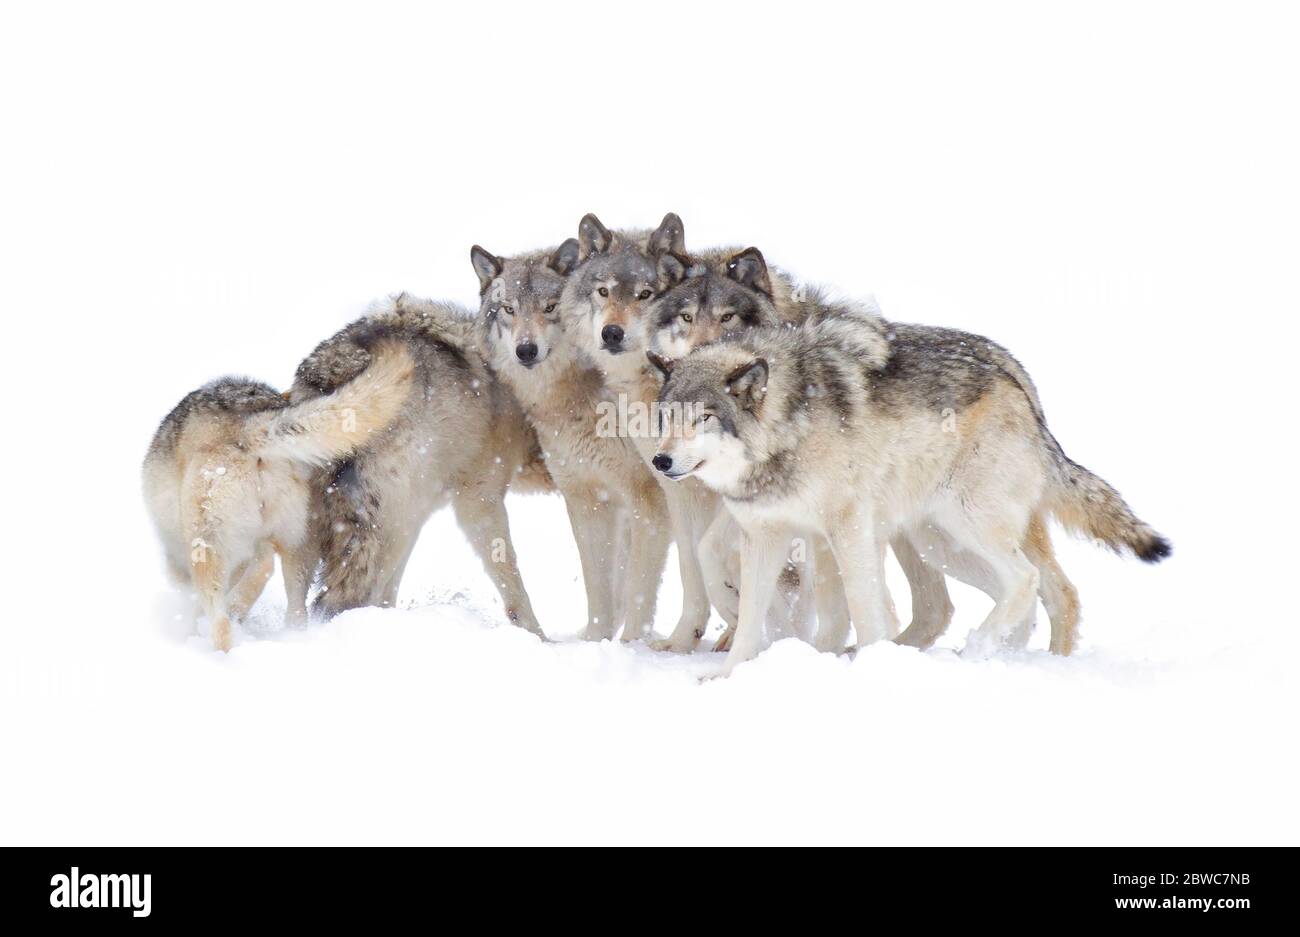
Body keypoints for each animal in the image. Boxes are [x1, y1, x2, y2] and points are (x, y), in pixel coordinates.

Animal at [143, 344, 415, 651]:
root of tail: (251, 425)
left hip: (209, 544)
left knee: (226, 608)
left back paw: (222, 642)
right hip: (297, 541)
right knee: (291, 601)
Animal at [292, 294, 552, 634]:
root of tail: (339, 367)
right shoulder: (478, 497)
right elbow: (512, 581)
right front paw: (539, 638)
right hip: (391, 523)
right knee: (355, 597)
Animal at [470, 235, 671, 641]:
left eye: (549, 308)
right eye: (508, 309)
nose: (526, 350)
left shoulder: (647, 497)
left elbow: (638, 586)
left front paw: (631, 646)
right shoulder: (587, 495)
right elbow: (602, 588)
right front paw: (595, 642)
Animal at [652, 295, 1169, 674]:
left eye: (703, 418)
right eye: (668, 416)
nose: (661, 460)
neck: (787, 429)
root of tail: (1020, 388)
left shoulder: (847, 530)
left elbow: (862, 607)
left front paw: (872, 664)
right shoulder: (767, 535)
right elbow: (754, 619)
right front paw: (730, 675)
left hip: (965, 525)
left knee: (1028, 581)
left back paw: (978, 649)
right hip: (939, 544)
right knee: (1021, 592)